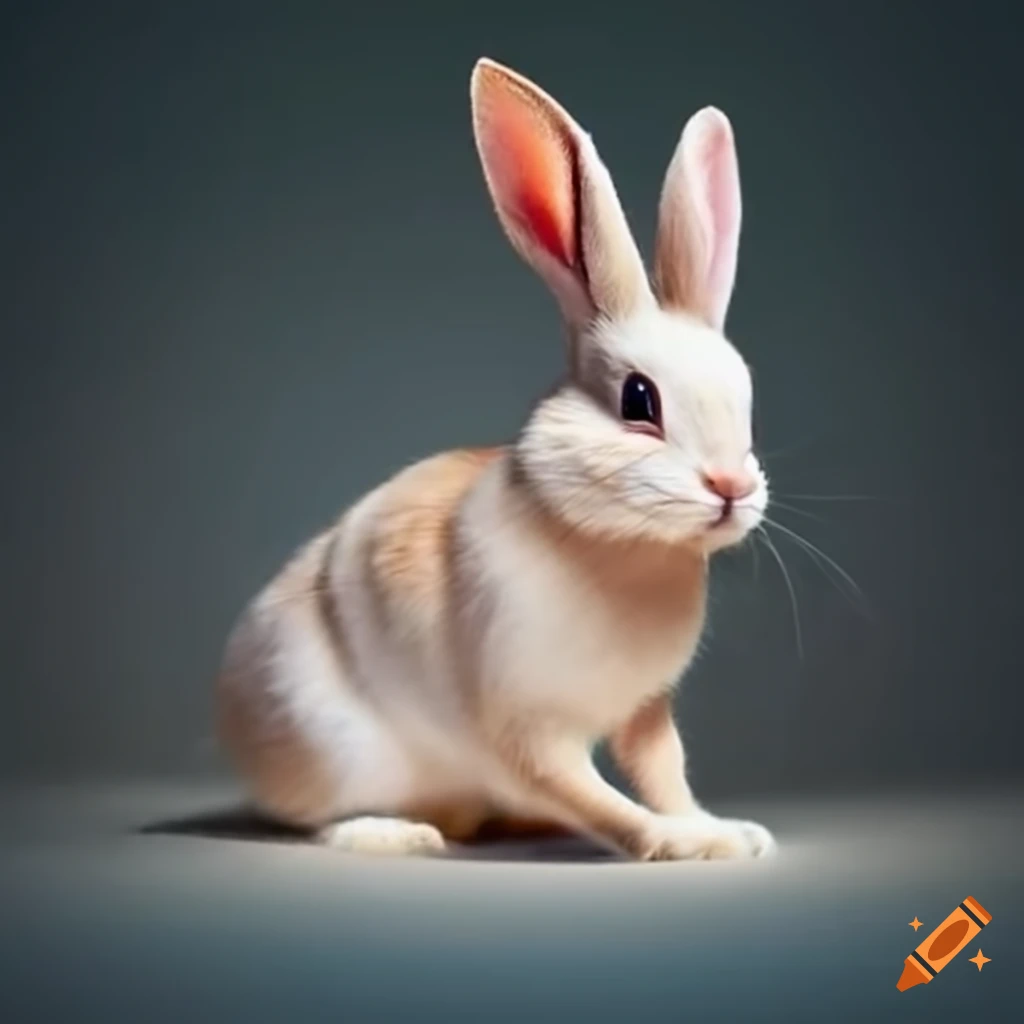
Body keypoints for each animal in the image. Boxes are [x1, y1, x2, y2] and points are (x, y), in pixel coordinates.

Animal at [216, 57, 776, 861]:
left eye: (746, 400)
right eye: (639, 399)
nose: (731, 486)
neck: (618, 550)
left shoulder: (645, 713)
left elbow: (662, 772)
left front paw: (723, 832)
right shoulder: (524, 727)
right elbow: (598, 797)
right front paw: (679, 844)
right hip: (331, 745)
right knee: (314, 820)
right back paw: (395, 834)